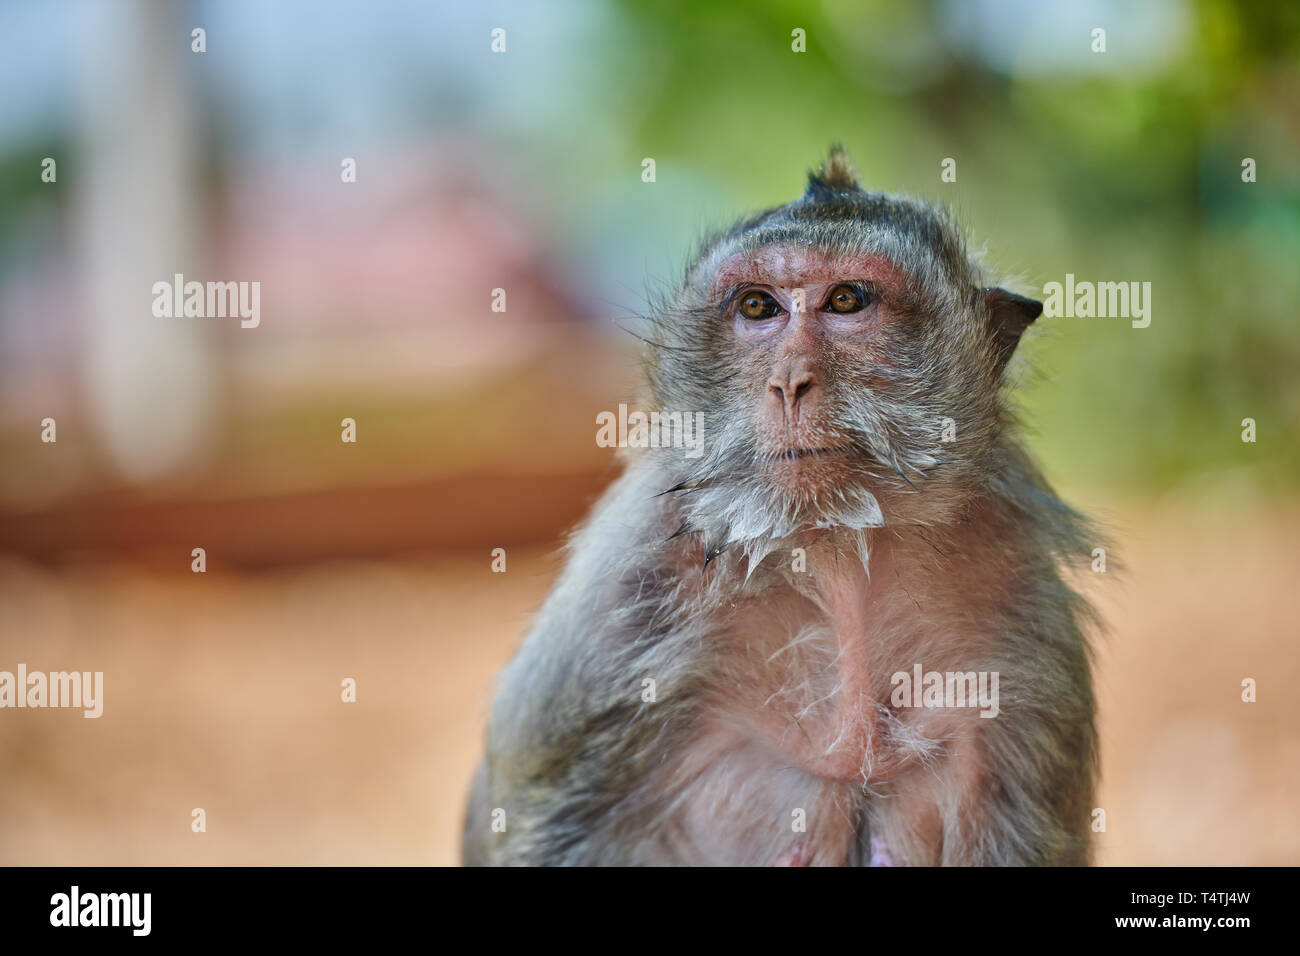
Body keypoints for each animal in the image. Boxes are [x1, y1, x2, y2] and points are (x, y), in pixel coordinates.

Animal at [462, 147, 1099, 866]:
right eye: (758, 306)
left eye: (847, 300)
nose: (789, 381)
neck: (834, 547)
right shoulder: (625, 587)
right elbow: (544, 813)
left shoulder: (1024, 606)